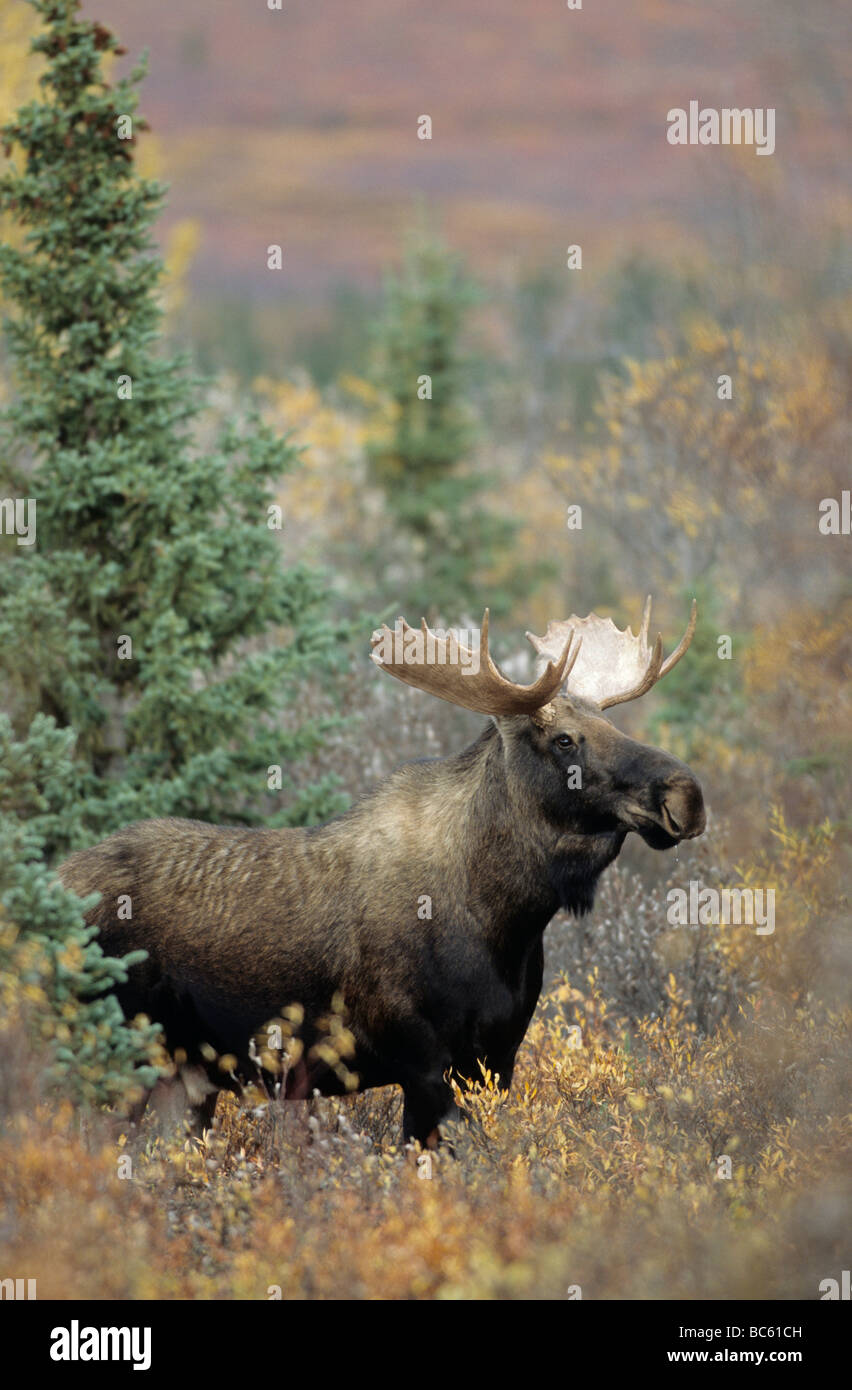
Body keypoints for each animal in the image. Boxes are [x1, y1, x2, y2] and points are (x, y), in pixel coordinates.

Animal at [58, 597, 705, 1148]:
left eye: (615, 726)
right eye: (565, 739)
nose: (686, 793)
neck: (505, 921)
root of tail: (57, 880)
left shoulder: (496, 1058)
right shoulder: (419, 1061)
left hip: (184, 1076)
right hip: (111, 1055)